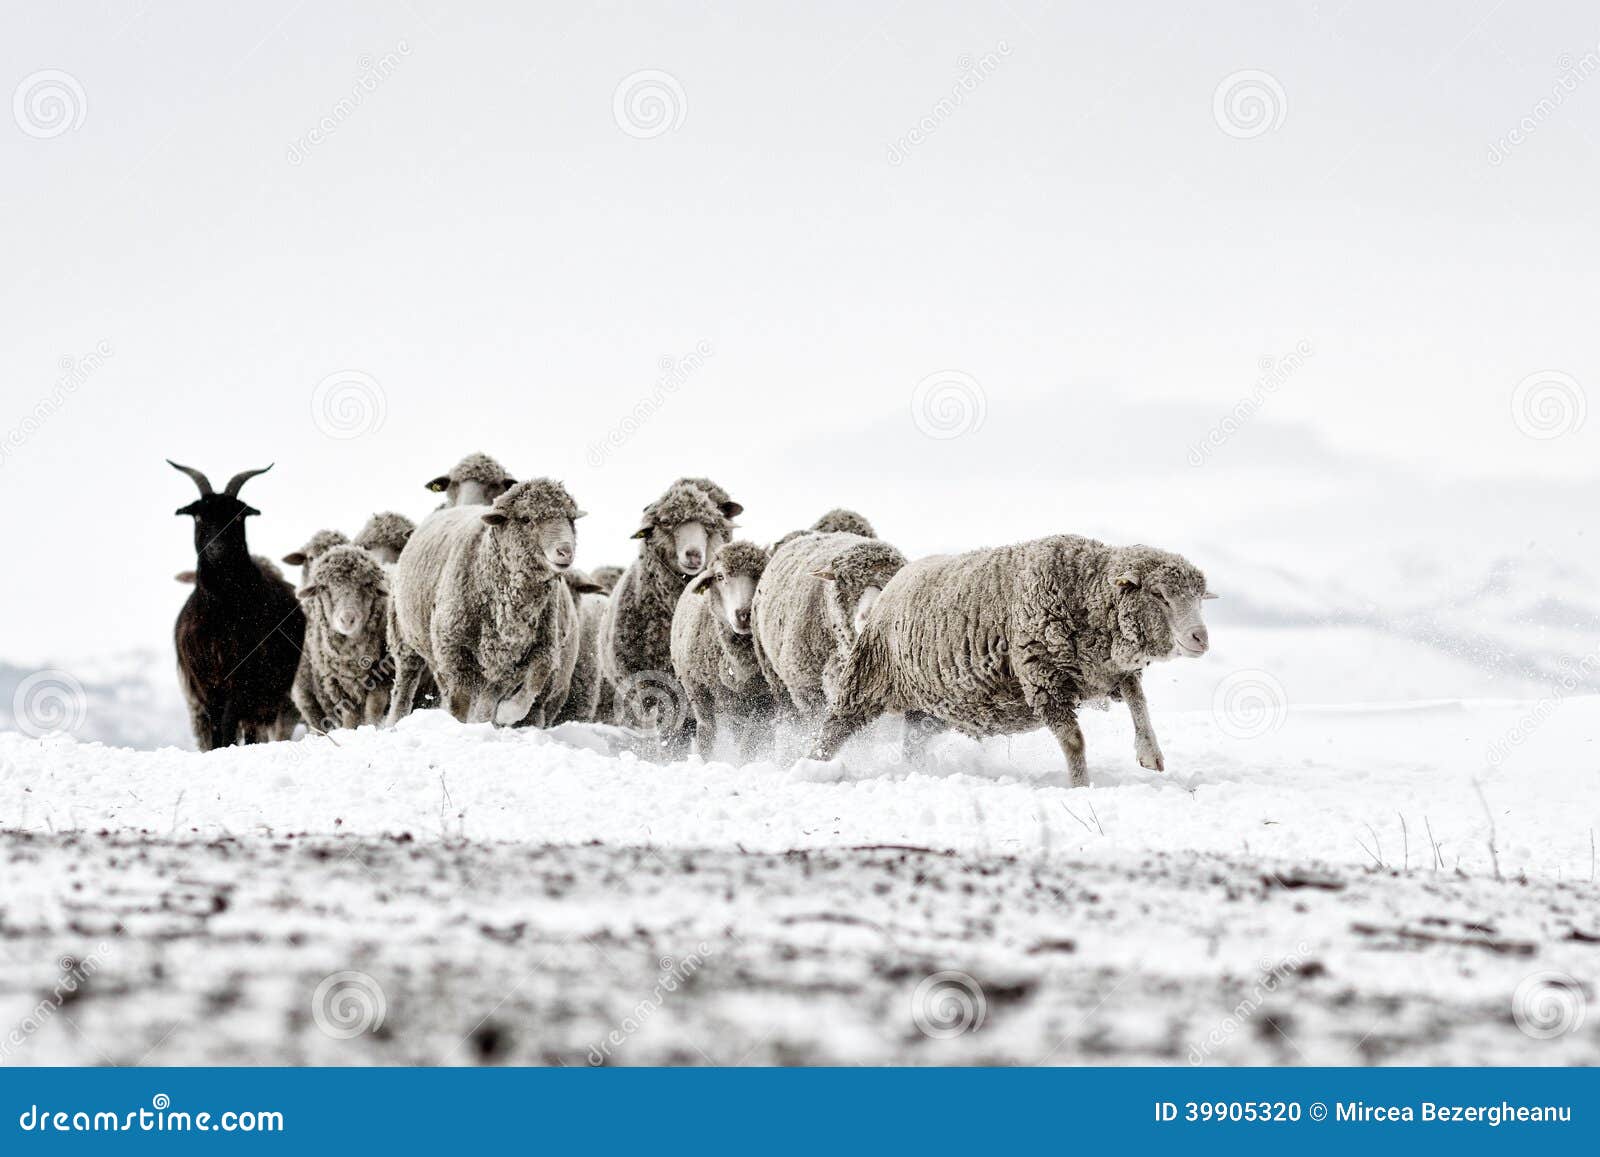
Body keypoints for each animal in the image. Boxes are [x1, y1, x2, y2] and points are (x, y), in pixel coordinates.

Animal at [168, 460, 305, 751]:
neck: (221, 613)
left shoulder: (243, 680)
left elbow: (229, 722)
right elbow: (218, 725)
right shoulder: (206, 684)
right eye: (198, 517)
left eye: (239, 517)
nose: (216, 548)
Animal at [291, 544, 393, 731]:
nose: (347, 619)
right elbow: (350, 716)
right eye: (323, 587)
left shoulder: (384, 676)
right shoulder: (337, 684)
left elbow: (374, 708)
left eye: (368, 585)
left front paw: (371, 728)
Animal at [387, 478, 585, 727]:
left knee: (486, 699)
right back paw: (395, 721)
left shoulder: (543, 650)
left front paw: (505, 713)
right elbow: (459, 703)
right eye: (525, 518)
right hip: (405, 640)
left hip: (494, 667)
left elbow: (531, 688)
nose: (565, 551)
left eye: (571, 519)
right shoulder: (454, 651)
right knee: (405, 686)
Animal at [670, 541, 774, 760]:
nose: (744, 613)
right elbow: (706, 735)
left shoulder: (766, 702)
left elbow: (750, 742)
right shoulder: (699, 693)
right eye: (720, 576)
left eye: (760, 574)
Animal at [809, 536, 1214, 786]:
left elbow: (1138, 701)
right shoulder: (1043, 679)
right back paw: (811, 766)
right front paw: (1081, 786)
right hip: (866, 679)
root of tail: (897, 579)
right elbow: (1074, 742)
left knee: (913, 741)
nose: (1201, 638)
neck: (1085, 592)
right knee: (834, 729)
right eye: (1159, 595)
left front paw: (1150, 754)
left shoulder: (1107, 671)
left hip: (934, 708)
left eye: (1199, 597)